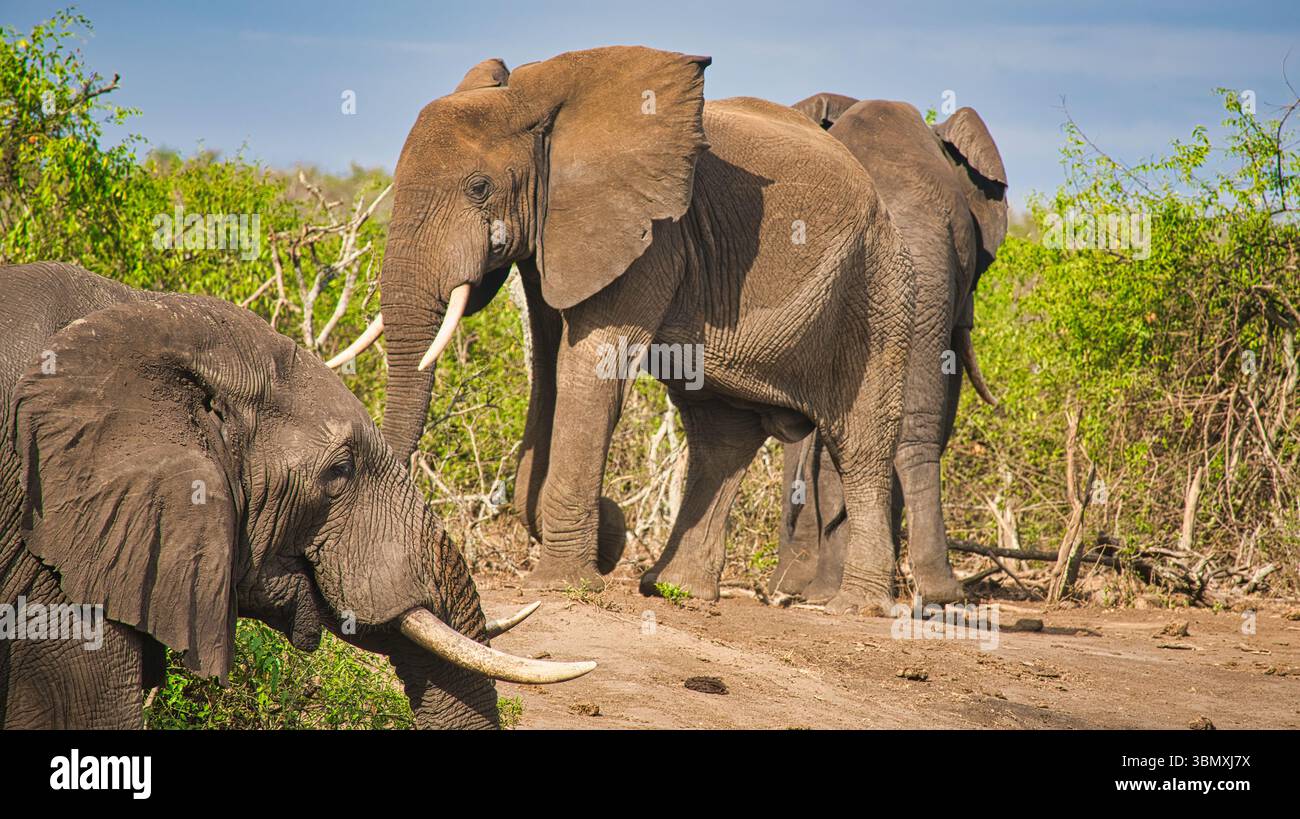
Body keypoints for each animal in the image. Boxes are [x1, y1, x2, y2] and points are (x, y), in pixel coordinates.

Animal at [327, 47, 918, 615]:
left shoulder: (653, 234)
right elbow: (549, 365)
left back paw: (854, 607)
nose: (617, 529)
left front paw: (565, 581)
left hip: (879, 291)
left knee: (862, 444)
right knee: (720, 437)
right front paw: (601, 543)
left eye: (479, 188)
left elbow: (586, 366)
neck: (539, 106)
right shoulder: (557, 235)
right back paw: (674, 589)